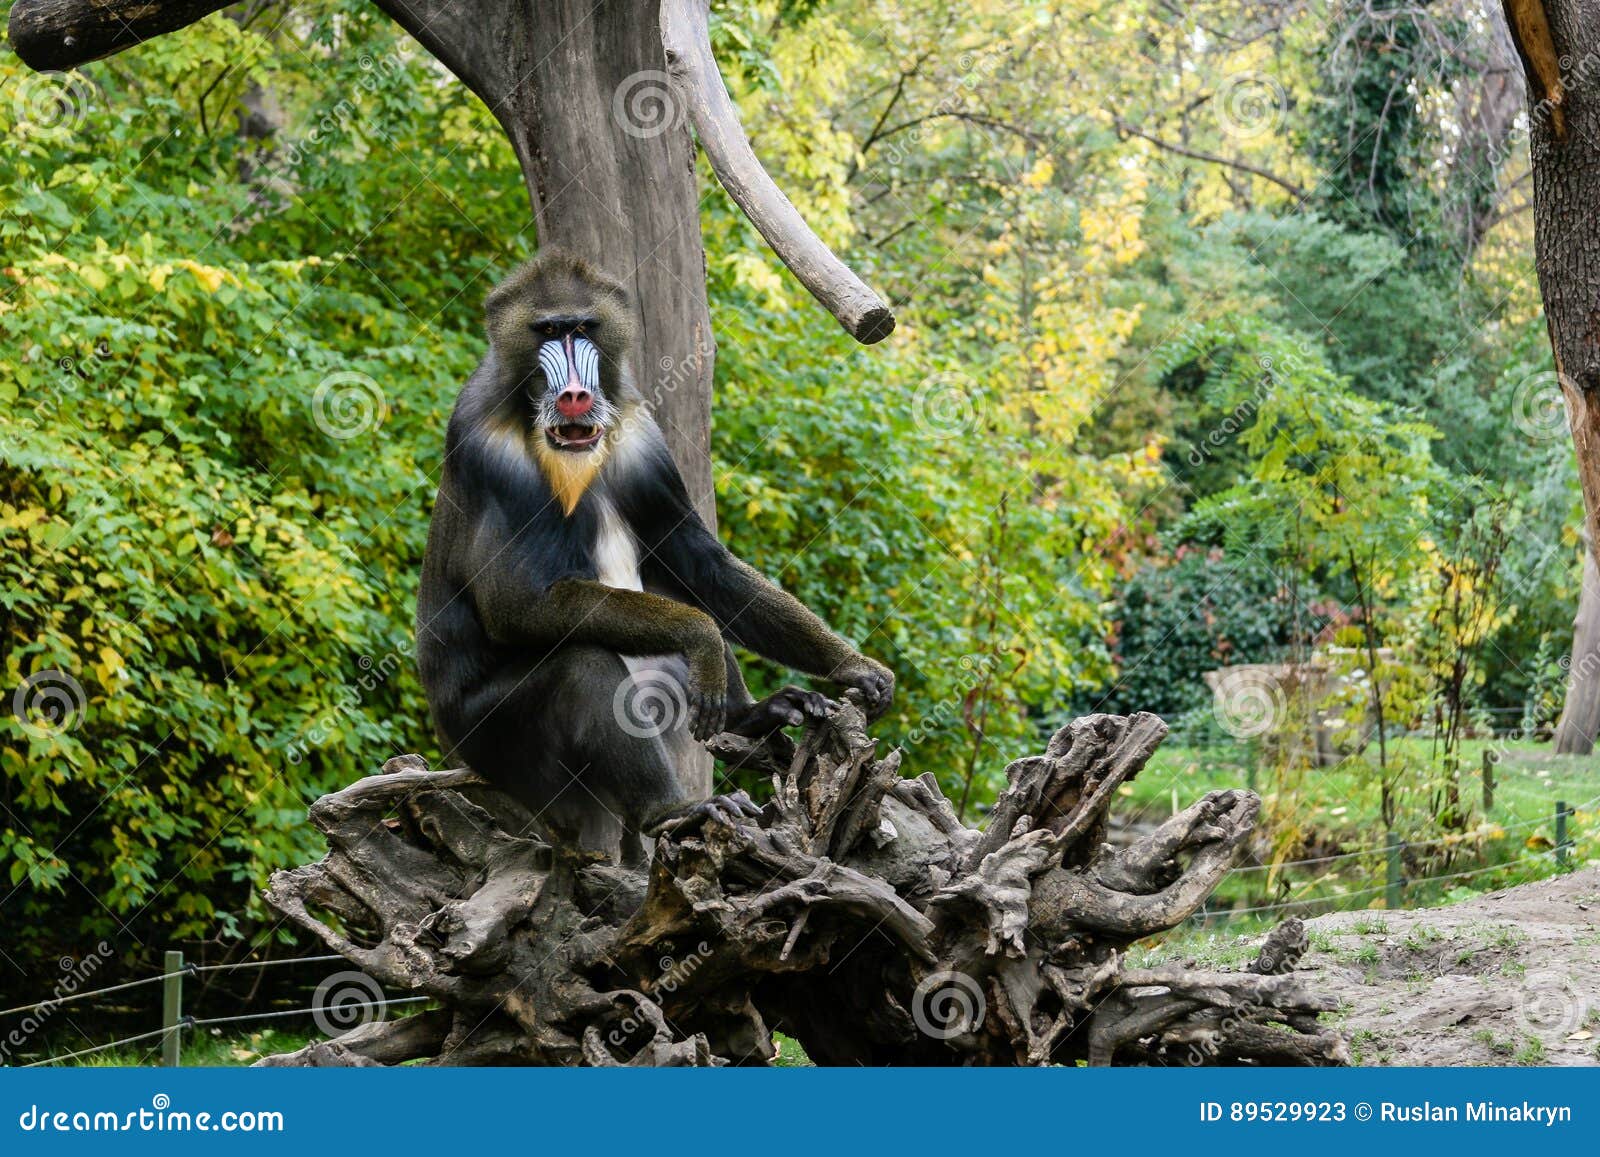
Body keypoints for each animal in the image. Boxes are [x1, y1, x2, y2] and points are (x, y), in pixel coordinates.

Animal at [415, 251, 894, 863]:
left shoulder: (643, 438)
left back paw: (754, 714)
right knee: (582, 664)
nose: (575, 395)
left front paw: (855, 667)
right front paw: (702, 638)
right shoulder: (493, 455)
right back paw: (672, 809)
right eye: (546, 331)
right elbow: (517, 603)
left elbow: (701, 565)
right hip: (496, 744)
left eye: (583, 329)